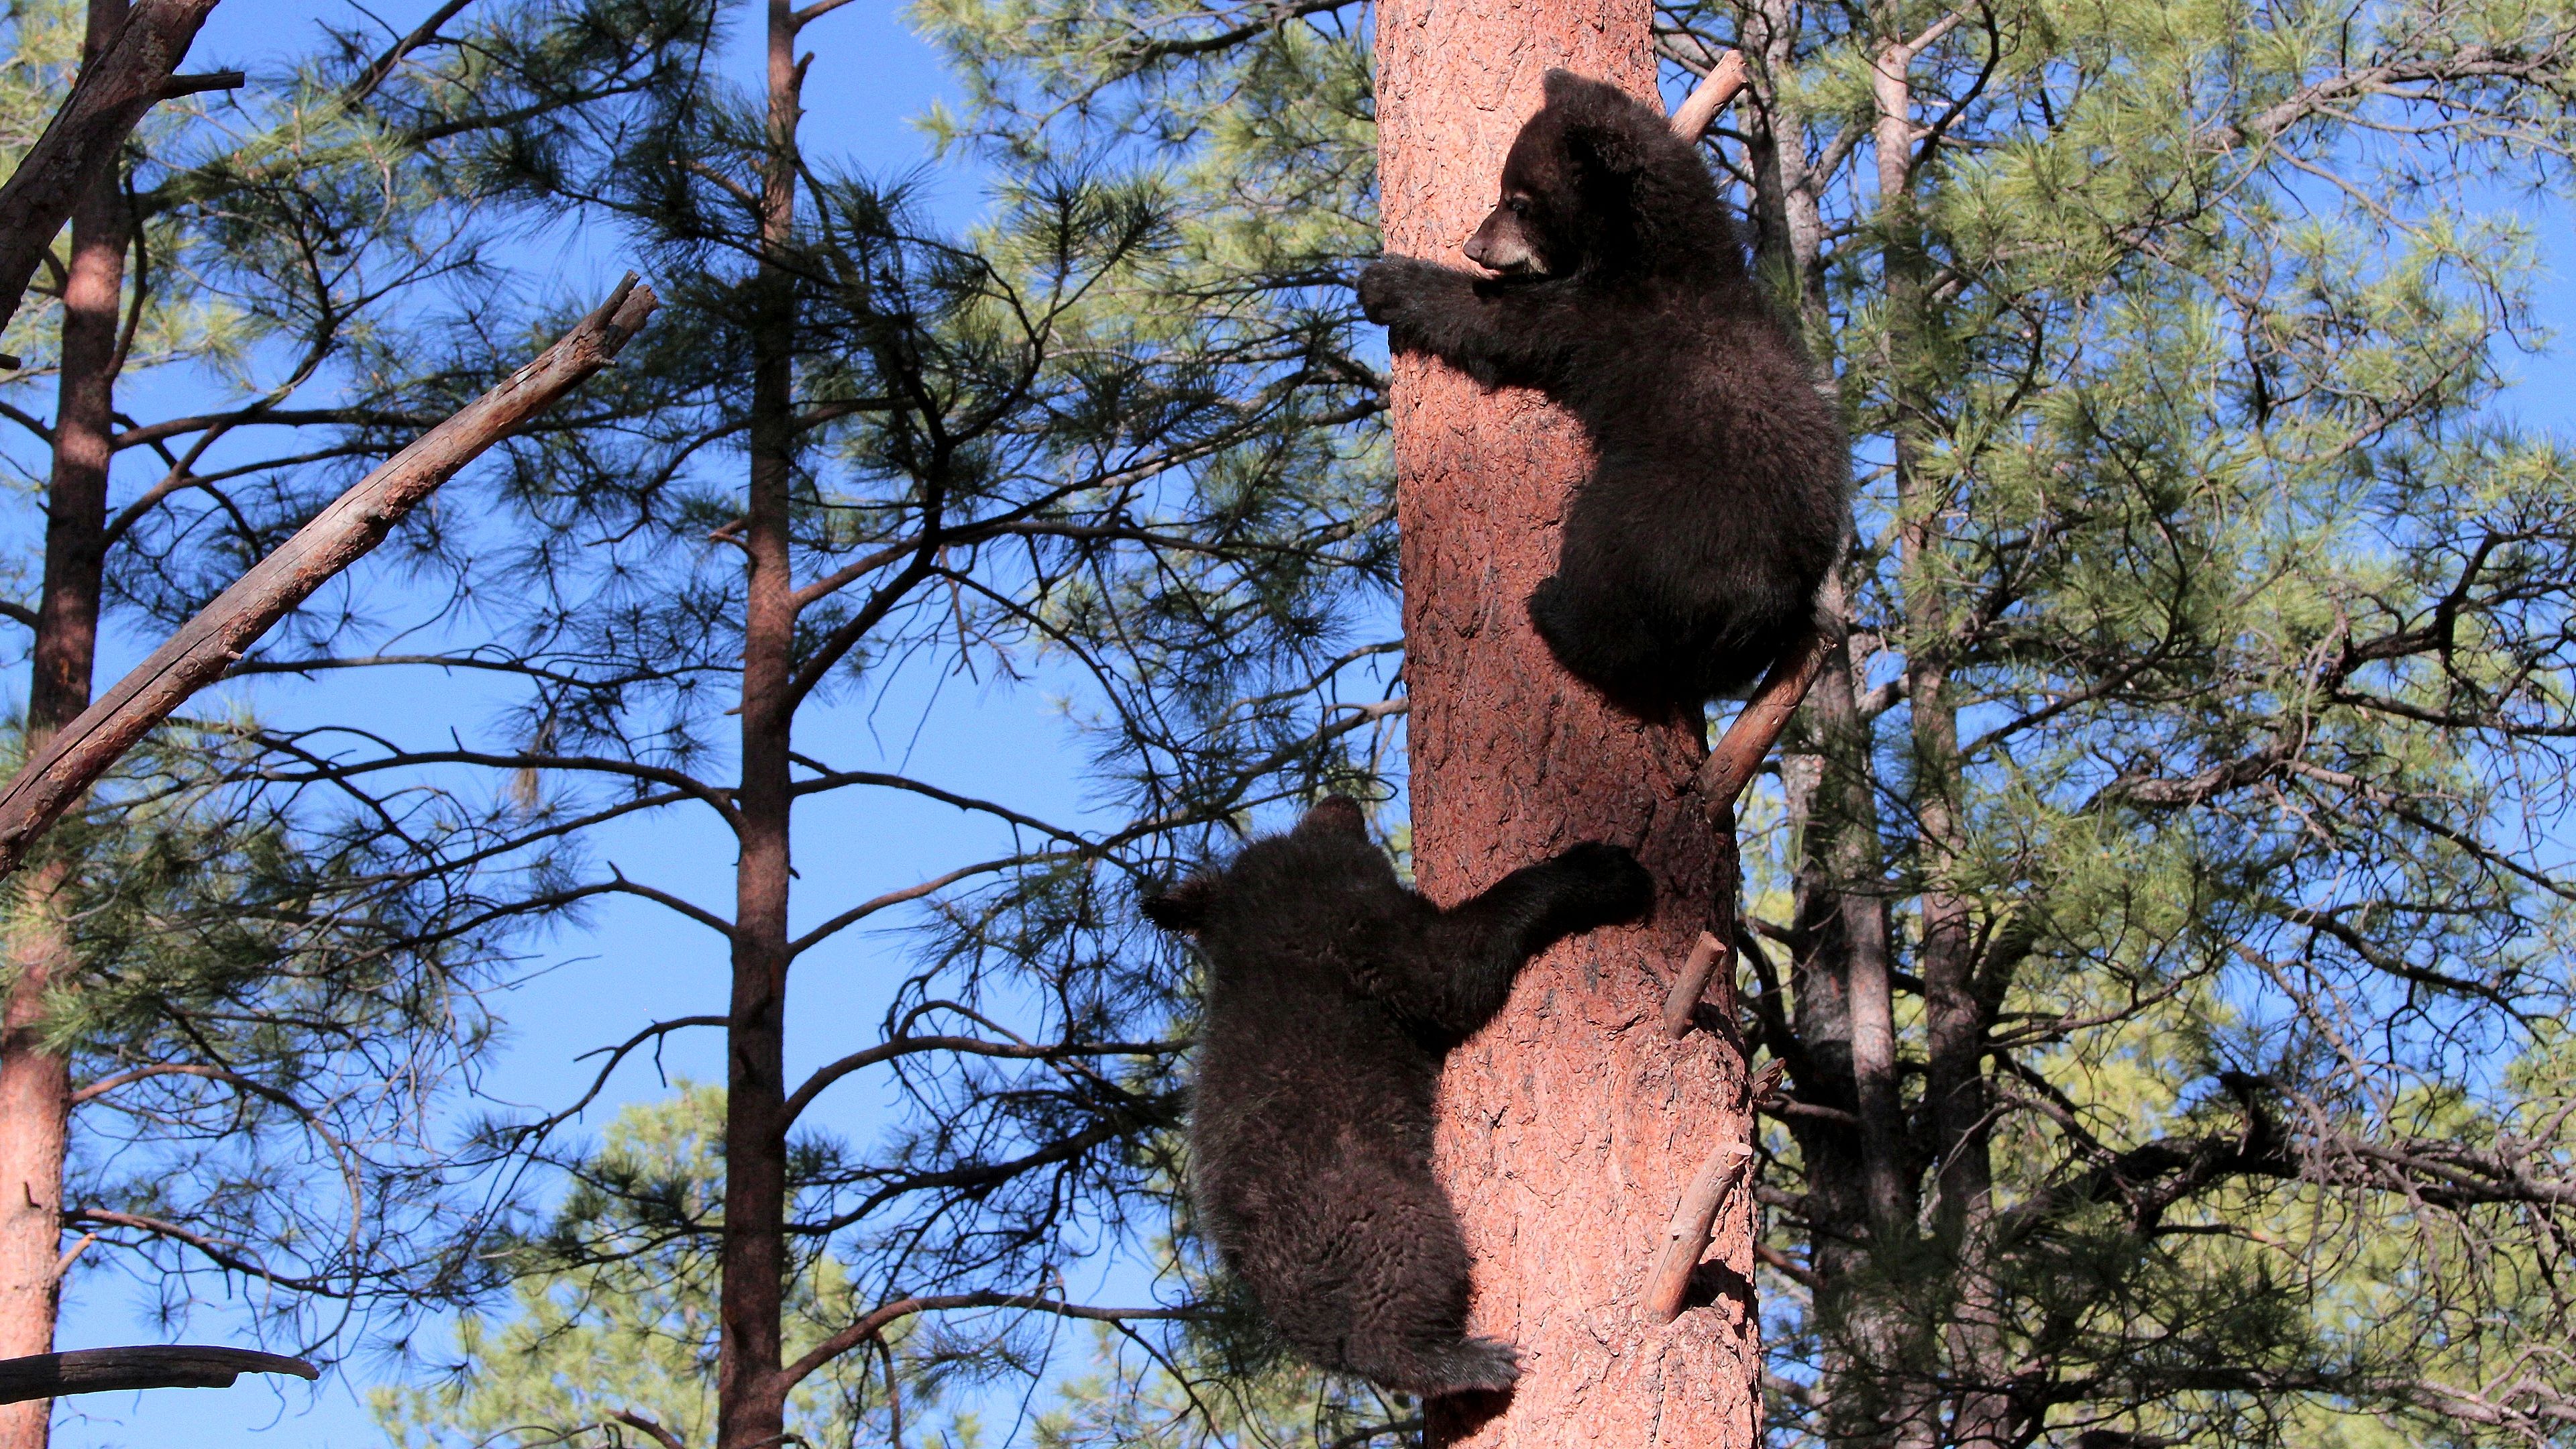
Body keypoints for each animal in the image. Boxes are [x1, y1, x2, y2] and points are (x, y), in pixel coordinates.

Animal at [1140, 796, 1654, 1395]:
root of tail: (1291, 1317)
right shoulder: (1364, 938)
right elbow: (1449, 970)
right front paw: (1597, 871)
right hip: (1375, 1209)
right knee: (1403, 1281)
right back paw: (1463, 1363)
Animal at [1357, 68, 1849, 713]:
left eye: (1517, 201)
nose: (1474, 246)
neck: (1660, 250)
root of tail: (1763, 599)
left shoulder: (1600, 316)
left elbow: (1495, 322)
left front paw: (1388, 281)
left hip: (1657, 519)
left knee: (1609, 580)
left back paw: (1556, 612)